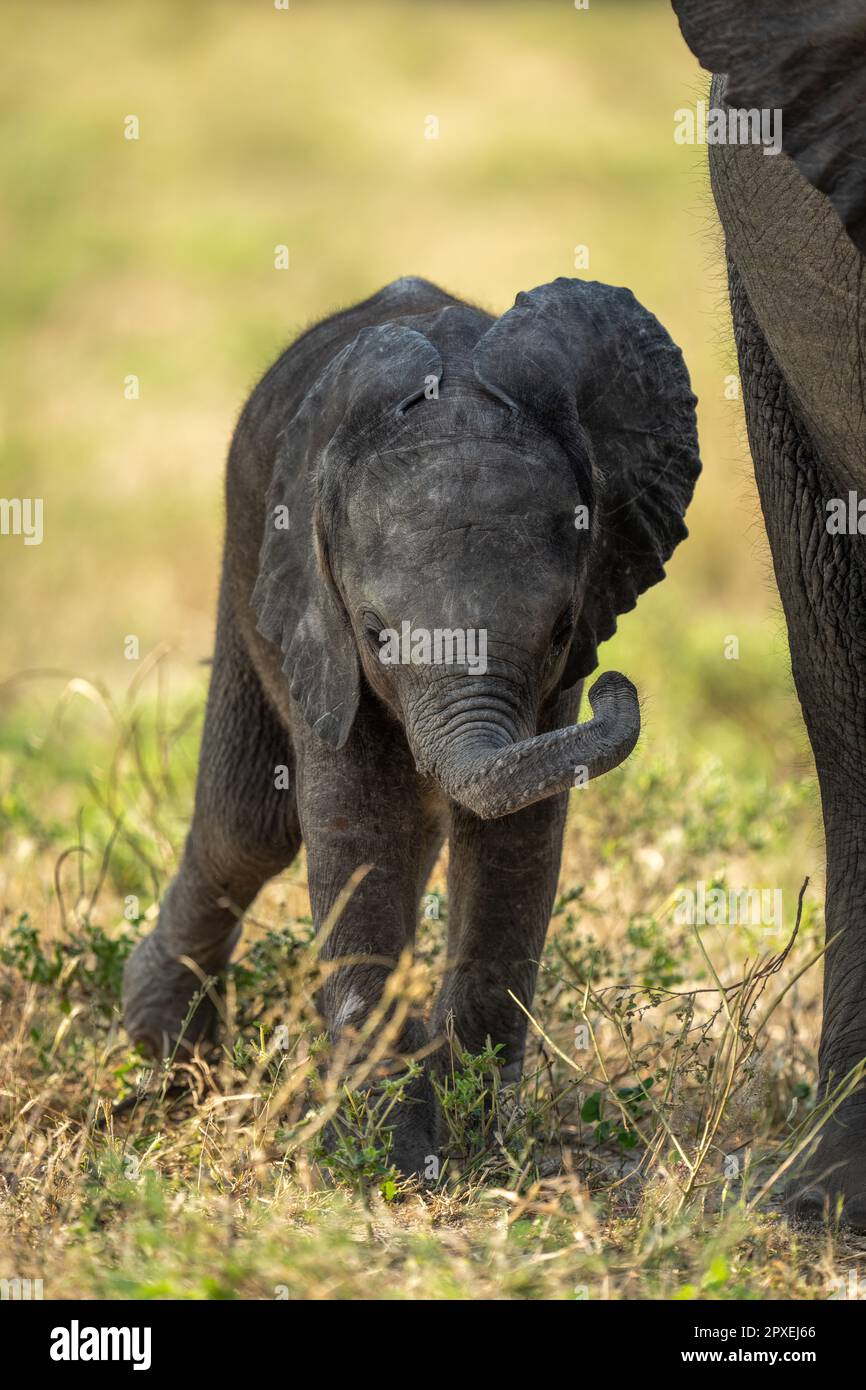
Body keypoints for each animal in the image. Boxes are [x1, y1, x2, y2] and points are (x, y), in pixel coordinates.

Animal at [122, 273, 700, 1175]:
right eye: (372, 631)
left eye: (564, 630)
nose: (617, 686)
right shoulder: (321, 625)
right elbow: (362, 837)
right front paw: (394, 1164)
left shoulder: (550, 699)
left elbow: (516, 849)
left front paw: (477, 1144)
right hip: (248, 576)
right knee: (248, 827)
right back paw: (161, 1058)